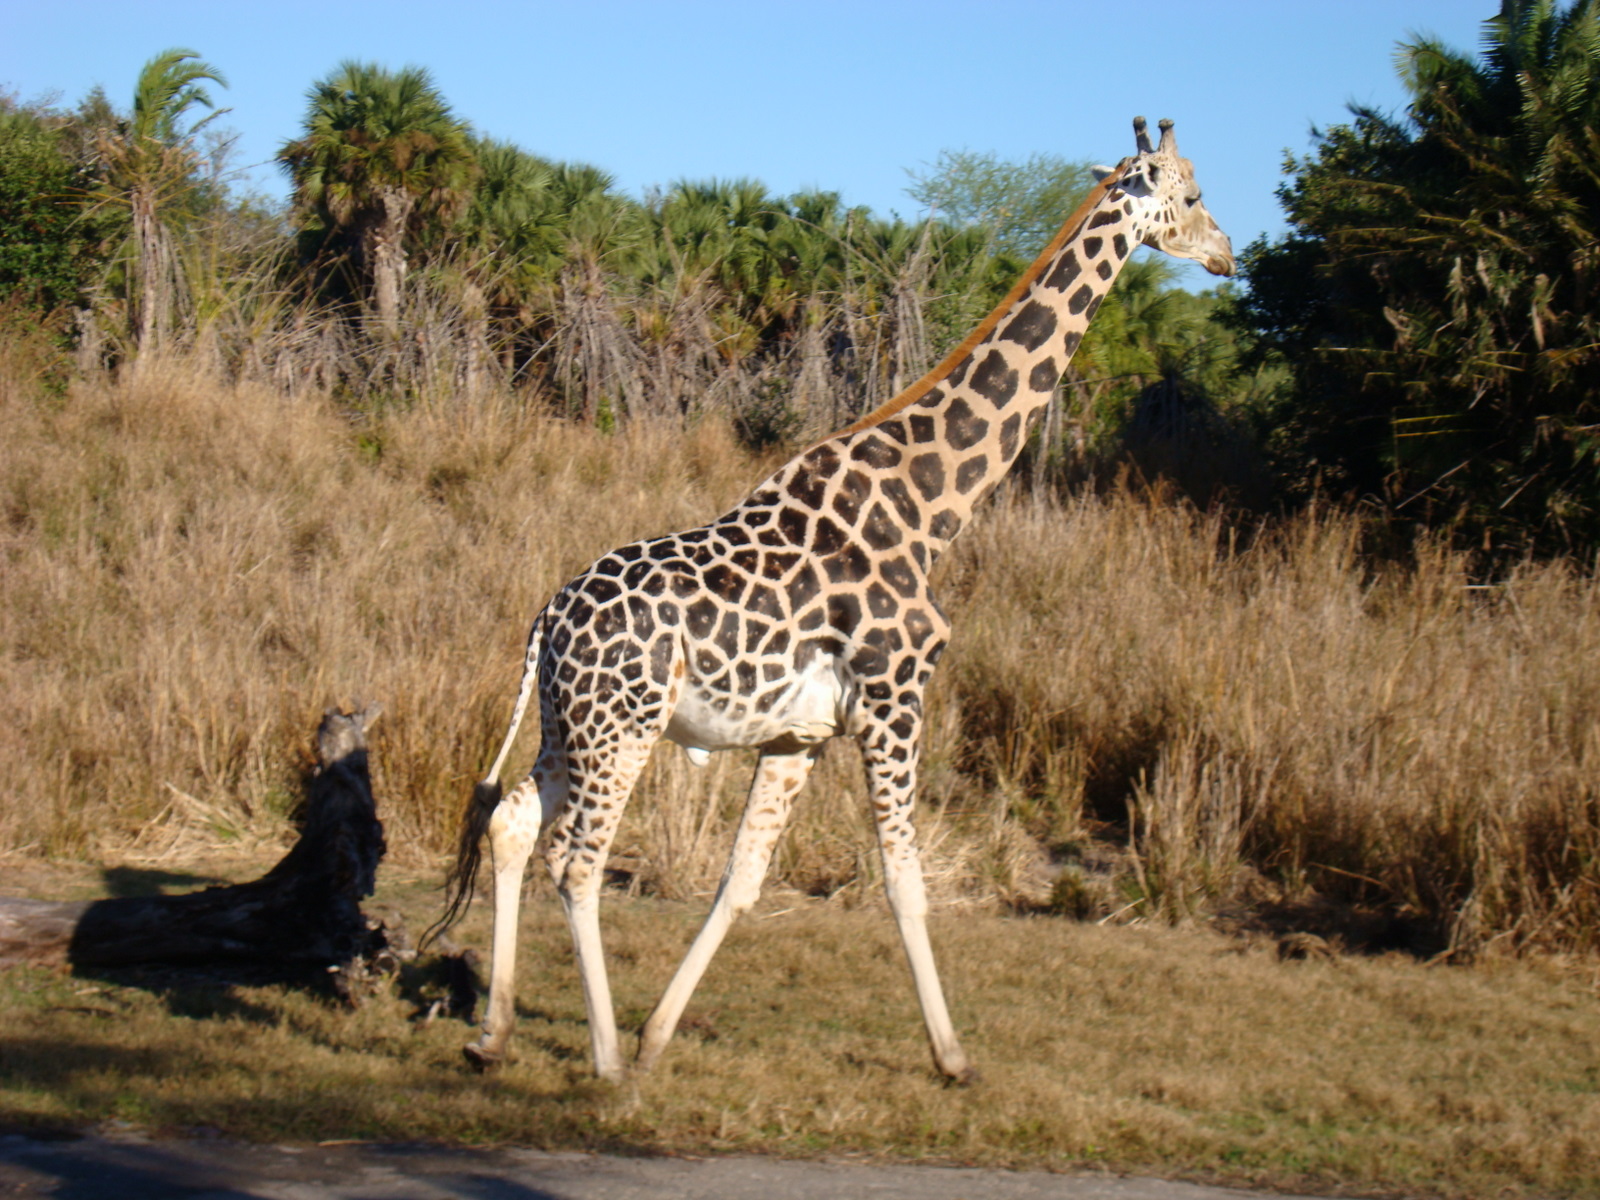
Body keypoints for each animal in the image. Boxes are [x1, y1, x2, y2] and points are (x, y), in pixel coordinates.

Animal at [438, 117, 1235, 1084]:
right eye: (1191, 195)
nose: (1228, 254)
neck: (933, 507)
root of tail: (545, 621)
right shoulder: (896, 699)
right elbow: (902, 878)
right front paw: (952, 1057)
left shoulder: (800, 734)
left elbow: (742, 879)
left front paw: (661, 1032)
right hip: (622, 726)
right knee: (578, 862)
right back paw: (603, 1059)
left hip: (569, 723)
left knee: (515, 825)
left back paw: (492, 1034)